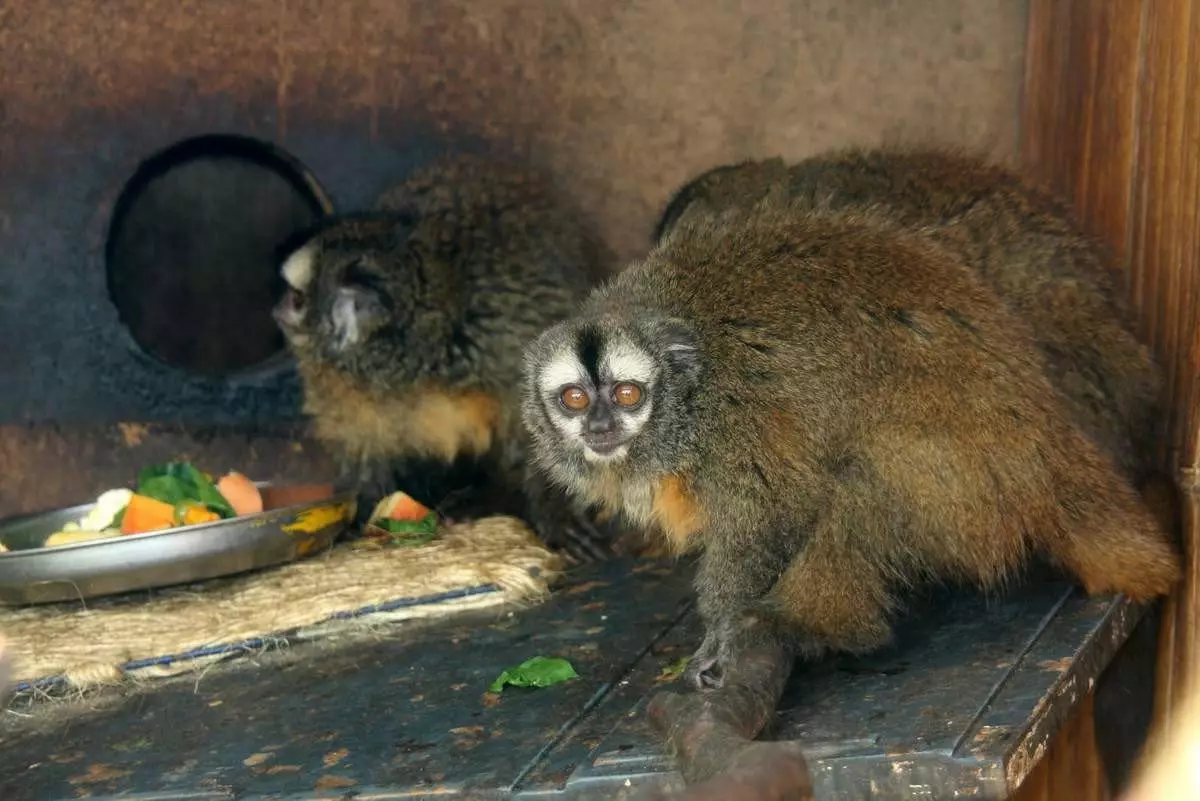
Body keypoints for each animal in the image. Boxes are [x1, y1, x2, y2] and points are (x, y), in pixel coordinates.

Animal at [520, 148, 1176, 690]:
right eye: (574, 399)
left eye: (628, 394)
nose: (601, 426)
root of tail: (1049, 434)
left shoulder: (735, 421)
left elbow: (768, 513)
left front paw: (722, 632)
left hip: (982, 482)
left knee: (871, 480)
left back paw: (814, 626)